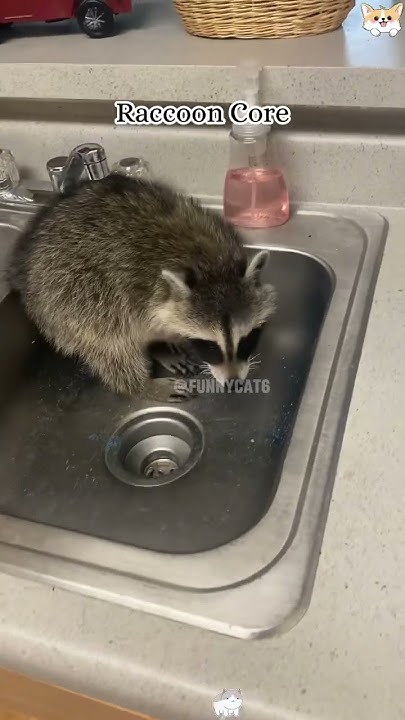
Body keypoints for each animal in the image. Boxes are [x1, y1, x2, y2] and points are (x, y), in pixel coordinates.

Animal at [7, 175, 277, 401]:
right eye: (210, 346)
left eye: (247, 338)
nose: (234, 384)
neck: (213, 265)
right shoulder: (133, 288)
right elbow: (113, 343)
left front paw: (165, 340)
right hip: (65, 291)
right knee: (107, 337)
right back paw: (139, 384)